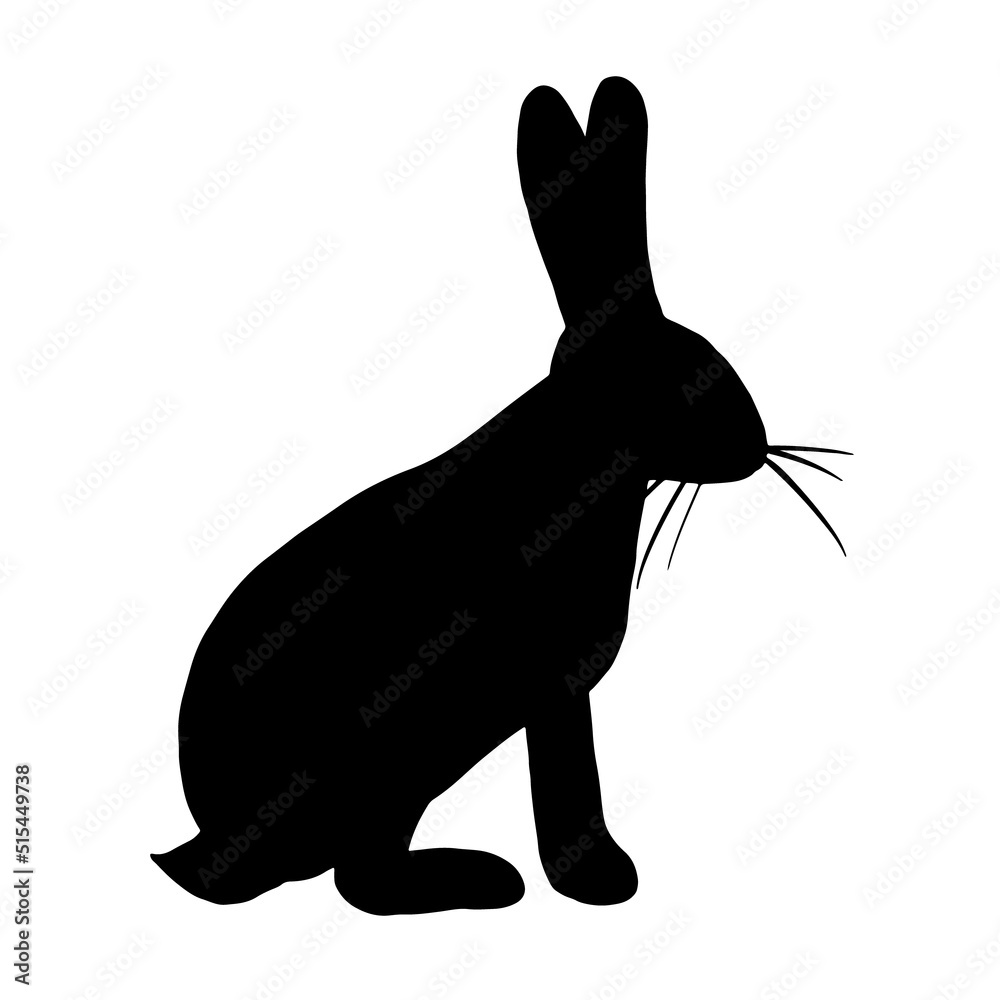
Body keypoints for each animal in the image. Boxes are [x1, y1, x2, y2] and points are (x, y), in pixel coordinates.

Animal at [152, 76, 847, 915]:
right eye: (680, 380)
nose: (755, 444)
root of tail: (213, 850)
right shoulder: (550, 683)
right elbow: (568, 781)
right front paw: (601, 882)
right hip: (391, 763)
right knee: (361, 879)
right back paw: (481, 878)